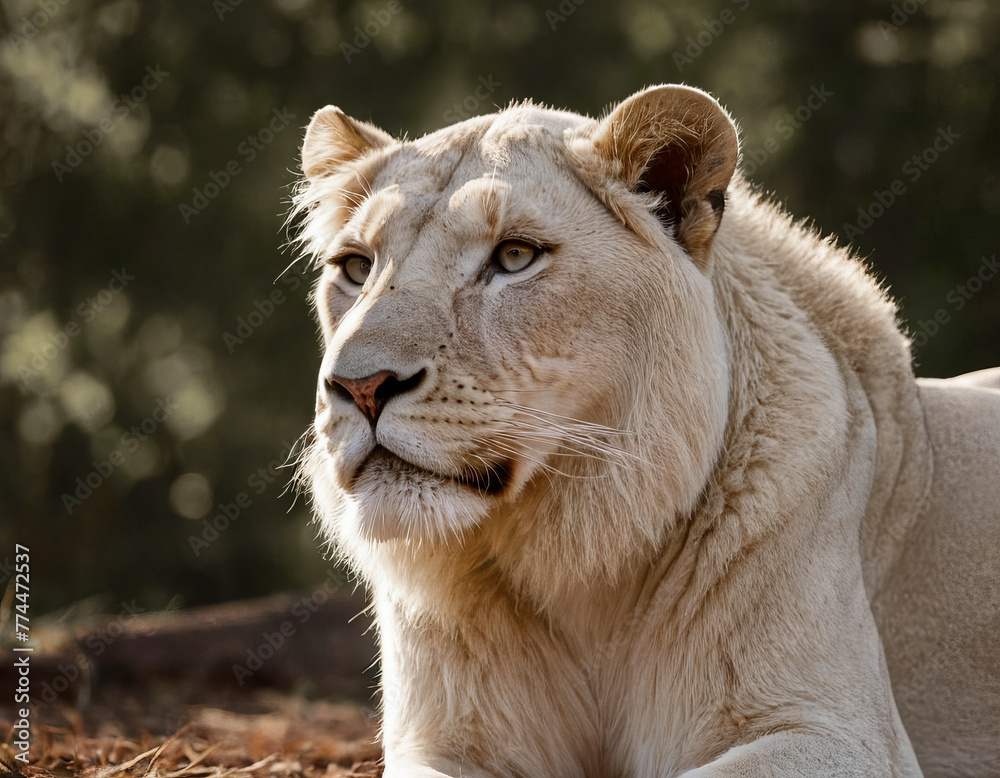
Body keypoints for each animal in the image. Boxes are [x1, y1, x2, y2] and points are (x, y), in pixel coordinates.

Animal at [292, 85, 1000, 777]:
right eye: (355, 267)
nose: (359, 386)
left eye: (515, 256)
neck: (579, 561)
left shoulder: (842, 733)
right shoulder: (441, 741)